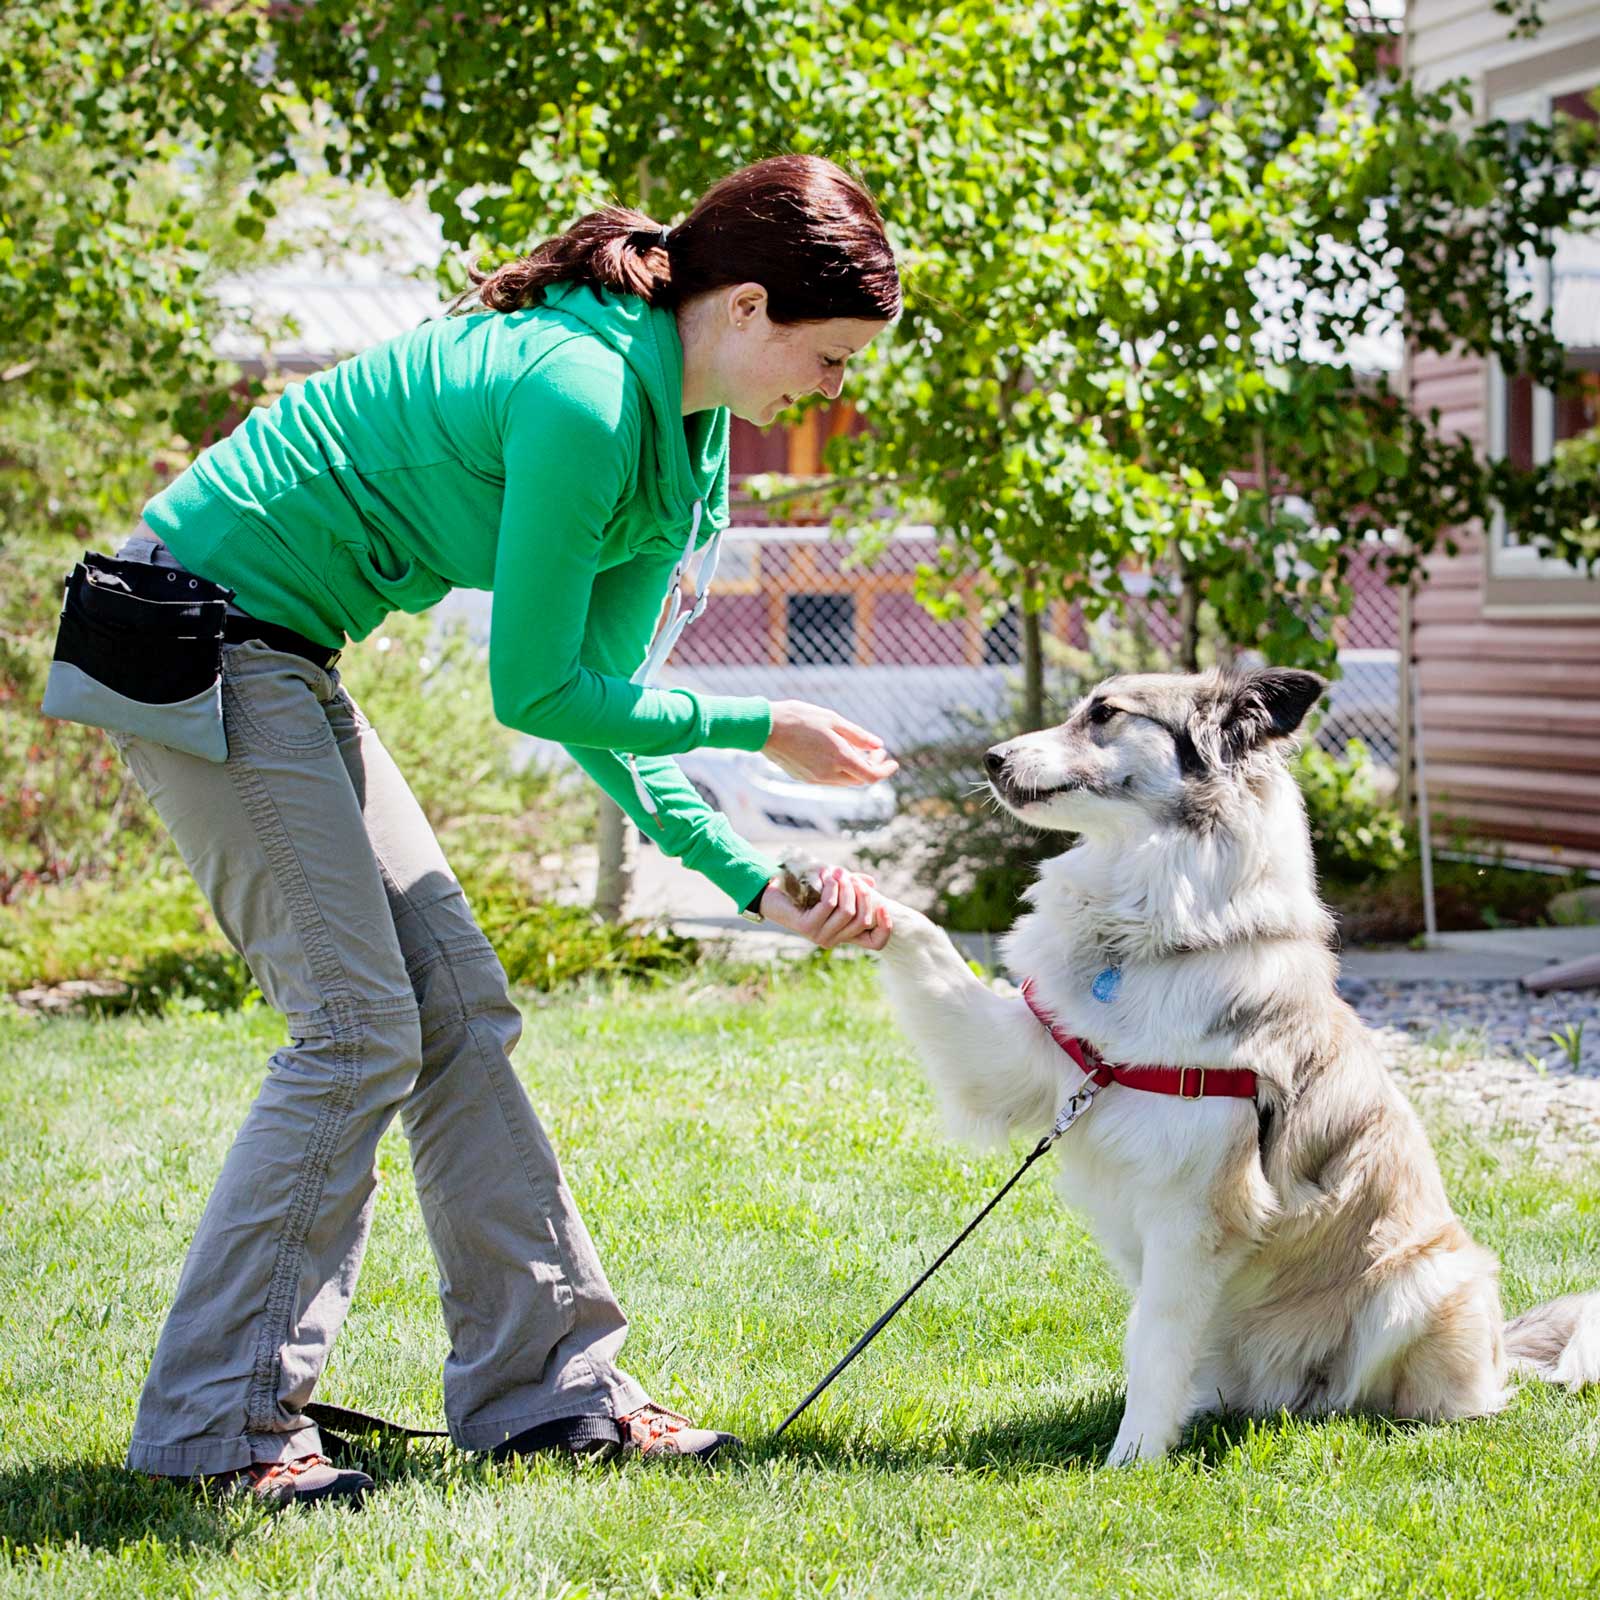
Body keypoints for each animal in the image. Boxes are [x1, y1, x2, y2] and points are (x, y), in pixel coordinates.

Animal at [790, 662, 1600, 1465]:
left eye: (1105, 713)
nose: (990, 759)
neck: (1145, 939)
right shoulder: (1027, 1057)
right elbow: (930, 947)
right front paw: (834, 888)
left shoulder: (1195, 1212)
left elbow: (1153, 1343)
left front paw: (1131, 1463)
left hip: (1425, 1279)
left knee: (1407, 1401)